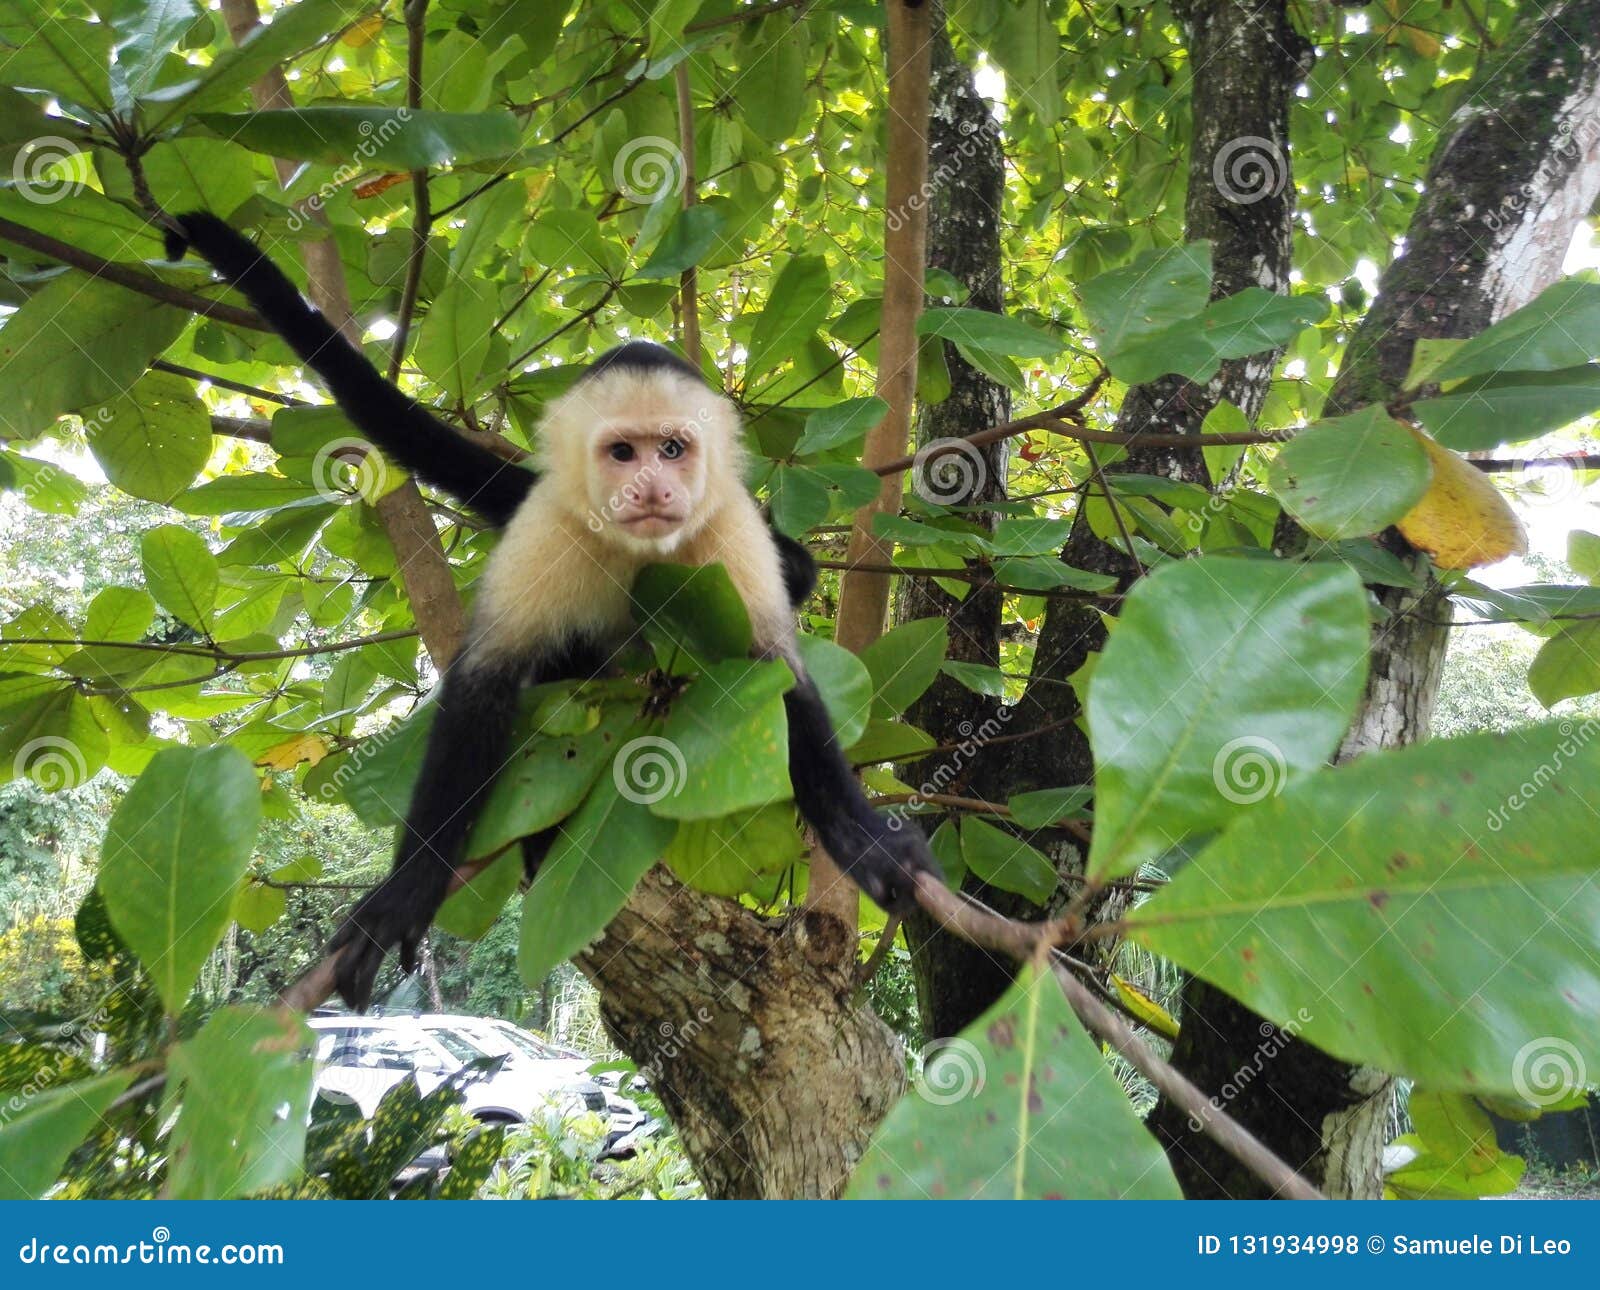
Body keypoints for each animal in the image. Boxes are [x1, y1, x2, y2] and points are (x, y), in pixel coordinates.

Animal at [165, 213, 940, 1009]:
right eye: (623, 453)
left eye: (673, 448)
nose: (653, 488)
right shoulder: (550, 525)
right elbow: (484, 681)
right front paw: (408, 887)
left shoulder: (729, 526)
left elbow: (777, 678)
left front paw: (865, 842)